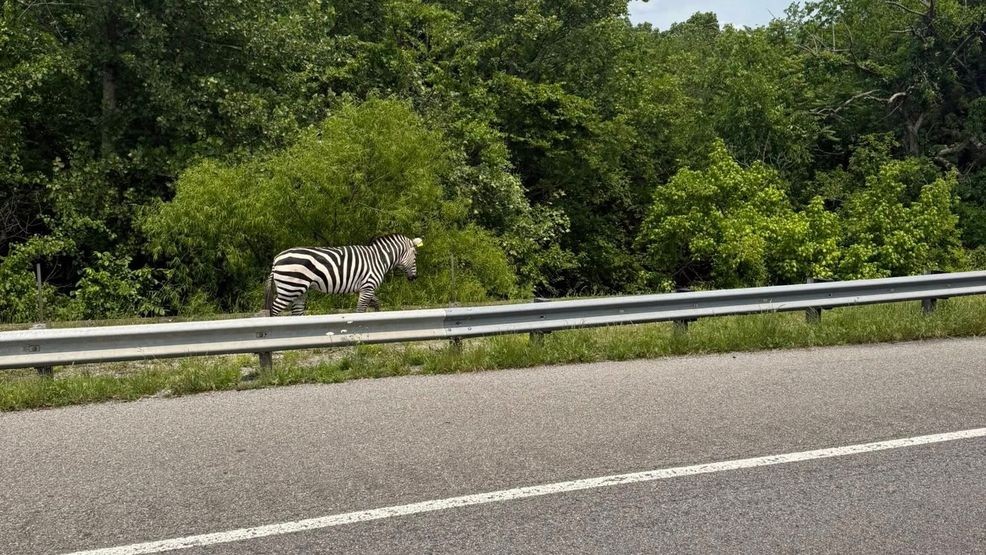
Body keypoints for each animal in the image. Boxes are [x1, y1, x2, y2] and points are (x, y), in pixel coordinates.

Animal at [264, 234, 423, 316]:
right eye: (415, 255)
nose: (414, 278)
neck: (379, 258)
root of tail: (276, 259)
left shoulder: (363, 288)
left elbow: (376, 304)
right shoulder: (368, 286)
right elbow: (360, 310)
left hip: (299, 289)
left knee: (296, 312)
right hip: (290, 288)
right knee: (275, 309)